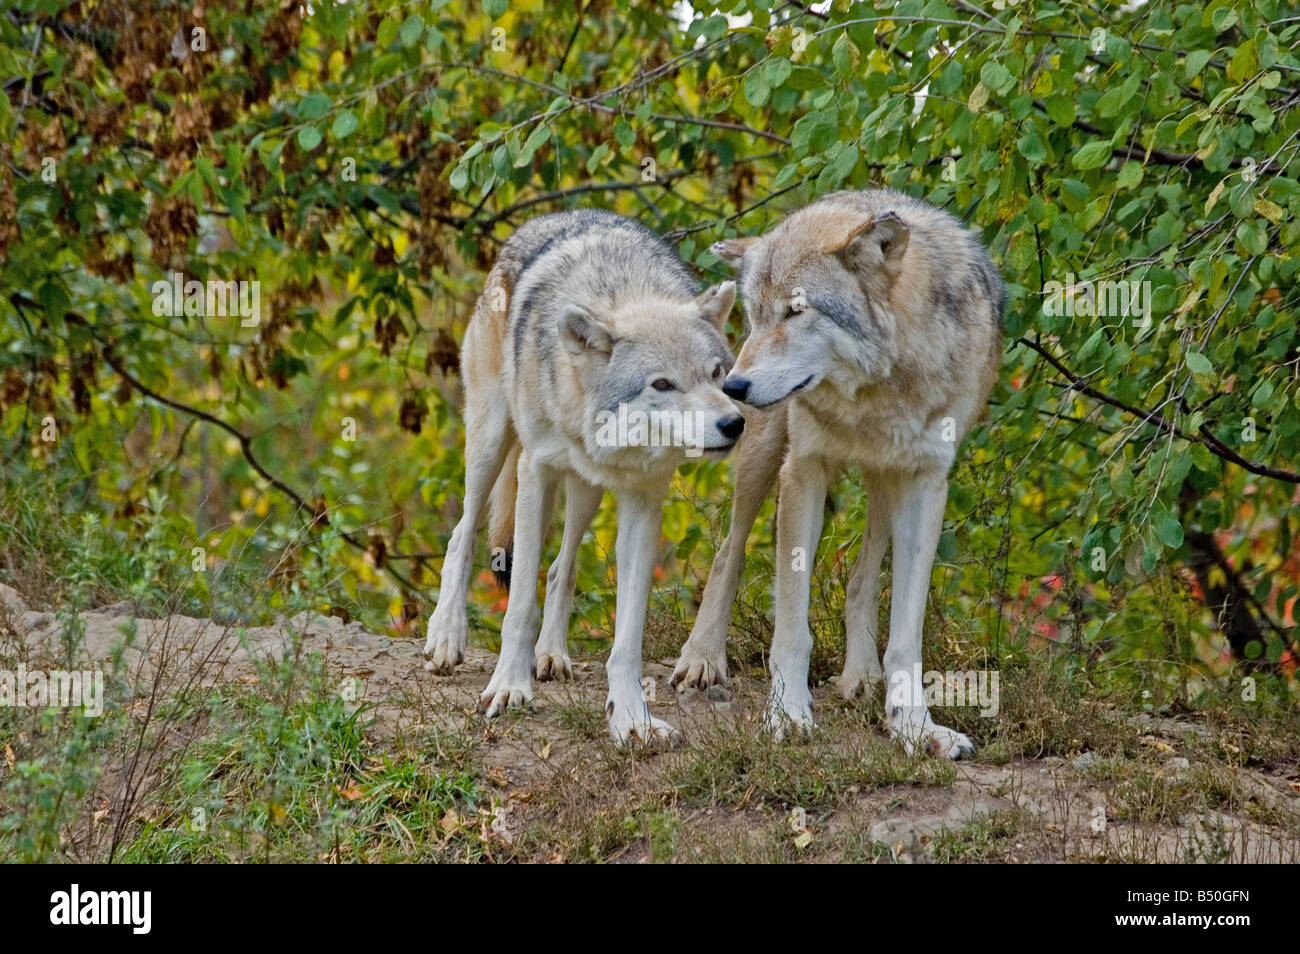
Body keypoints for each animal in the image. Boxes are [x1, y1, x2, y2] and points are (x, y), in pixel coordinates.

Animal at [423, 209, 743, 744]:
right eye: (662, 384)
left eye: (718, 373)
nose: (734, 424)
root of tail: (549, 217)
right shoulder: (534, 474)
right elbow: (518, 608)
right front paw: (509, 688)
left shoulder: (643, 500)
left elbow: (627, 635)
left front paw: (632, 717)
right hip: (492, 443)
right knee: (461, 535)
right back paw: (446, 637)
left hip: (586, 491)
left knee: (561, 567)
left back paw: (552, 655)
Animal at [670, 189, 1002, 758]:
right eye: (757, 314)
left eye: (797, 310)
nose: (733, 385)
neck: (877, 392)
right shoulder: (803, 469)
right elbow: (791, 625)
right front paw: (788, 713)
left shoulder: (927, 484)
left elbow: (906, 635)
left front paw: (915, 725)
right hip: (763, 455)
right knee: (728, 550)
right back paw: (702, 657)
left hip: (885, 480)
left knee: (860, 578)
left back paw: (860, 676)